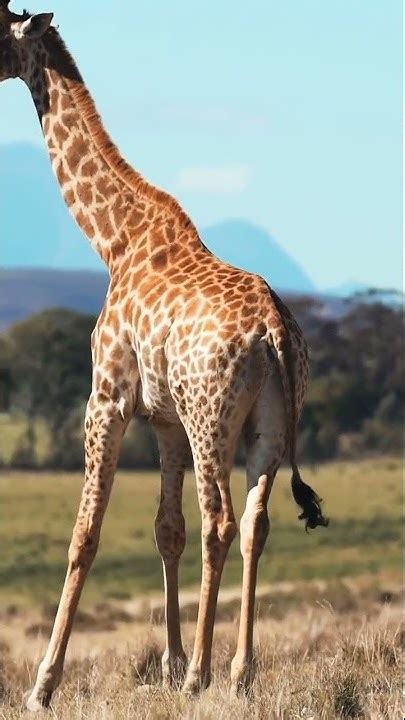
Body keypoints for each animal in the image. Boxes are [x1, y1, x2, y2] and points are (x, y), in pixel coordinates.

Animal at [0, 3, 329, 710]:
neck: (114, 240)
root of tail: (274, 331)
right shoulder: (166, 421)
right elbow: (164, 529)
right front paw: (172, 664)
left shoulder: (107, 399)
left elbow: (86, 534)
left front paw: (44, 684)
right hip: (267, 426)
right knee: (255, 522)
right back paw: (238, 673)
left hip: (213, 420)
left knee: (221, 520)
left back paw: (207, 673)